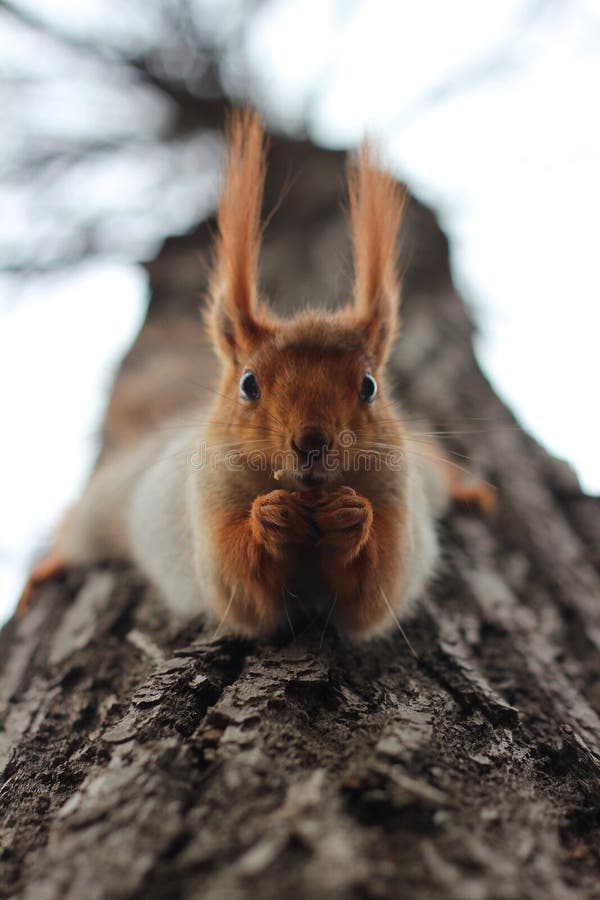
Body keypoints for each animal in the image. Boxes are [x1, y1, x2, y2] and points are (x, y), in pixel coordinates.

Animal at [17, 109, 495, 639]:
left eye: (369, 386)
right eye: (248, 384)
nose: (312, 443)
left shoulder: (398, 495)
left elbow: (377, 587)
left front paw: (351, 516)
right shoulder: (208, 502)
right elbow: (240, 587)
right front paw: (270, 517)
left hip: (423, 472)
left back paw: (470, 489)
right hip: (109, 503)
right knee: (77, 527)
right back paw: (47, 566)